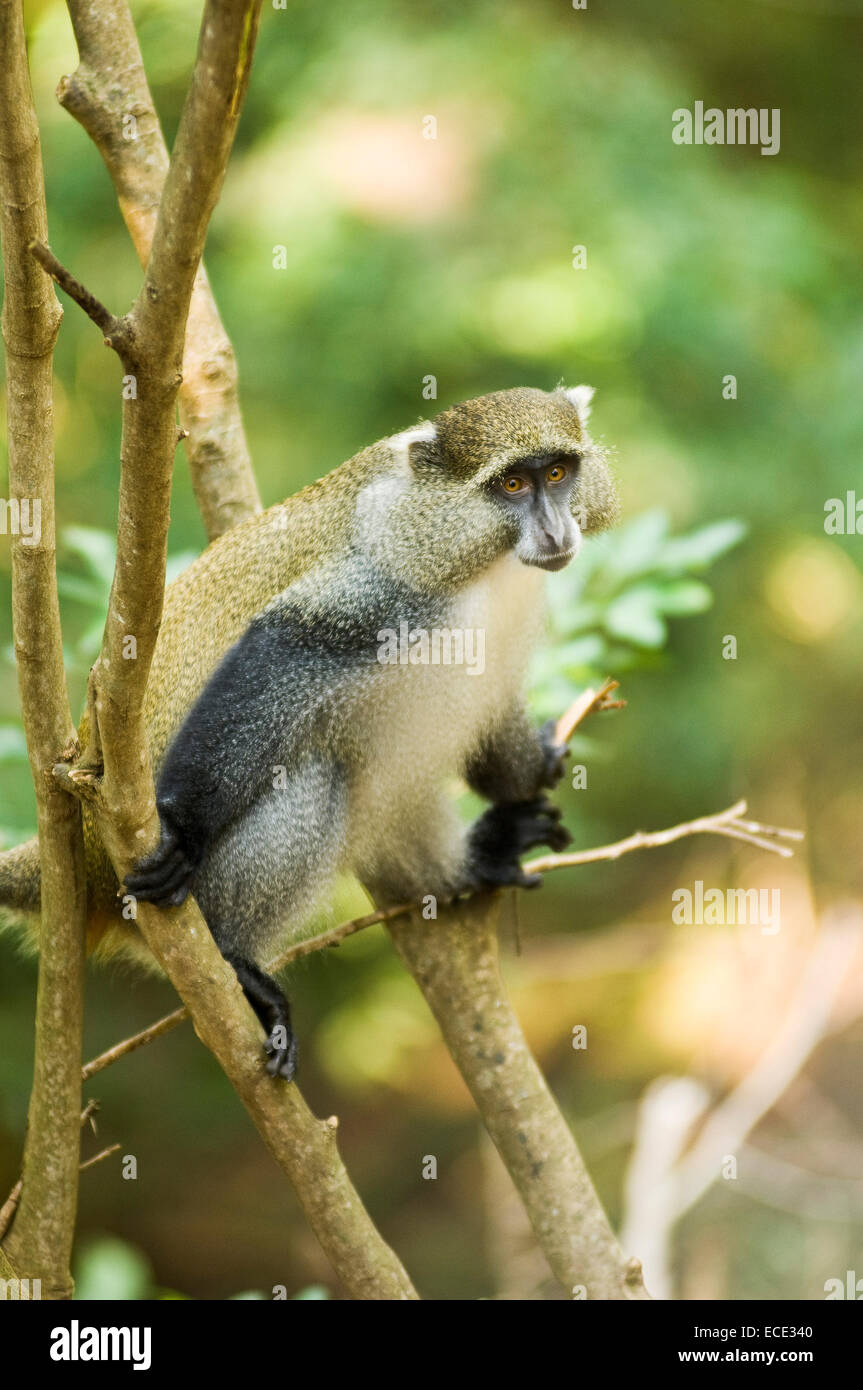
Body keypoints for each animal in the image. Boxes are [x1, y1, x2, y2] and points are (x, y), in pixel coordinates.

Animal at [0, 385, 618, 1080]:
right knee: (319, 771)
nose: (555, 530)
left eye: (558, 473)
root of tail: (80, 851)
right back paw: (237, 962)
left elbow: (492, 712)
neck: (476, 560)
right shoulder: (378, 594)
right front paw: (182, 829)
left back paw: (475, 860)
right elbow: (282, 649)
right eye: (512, 483)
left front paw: (535, 763)